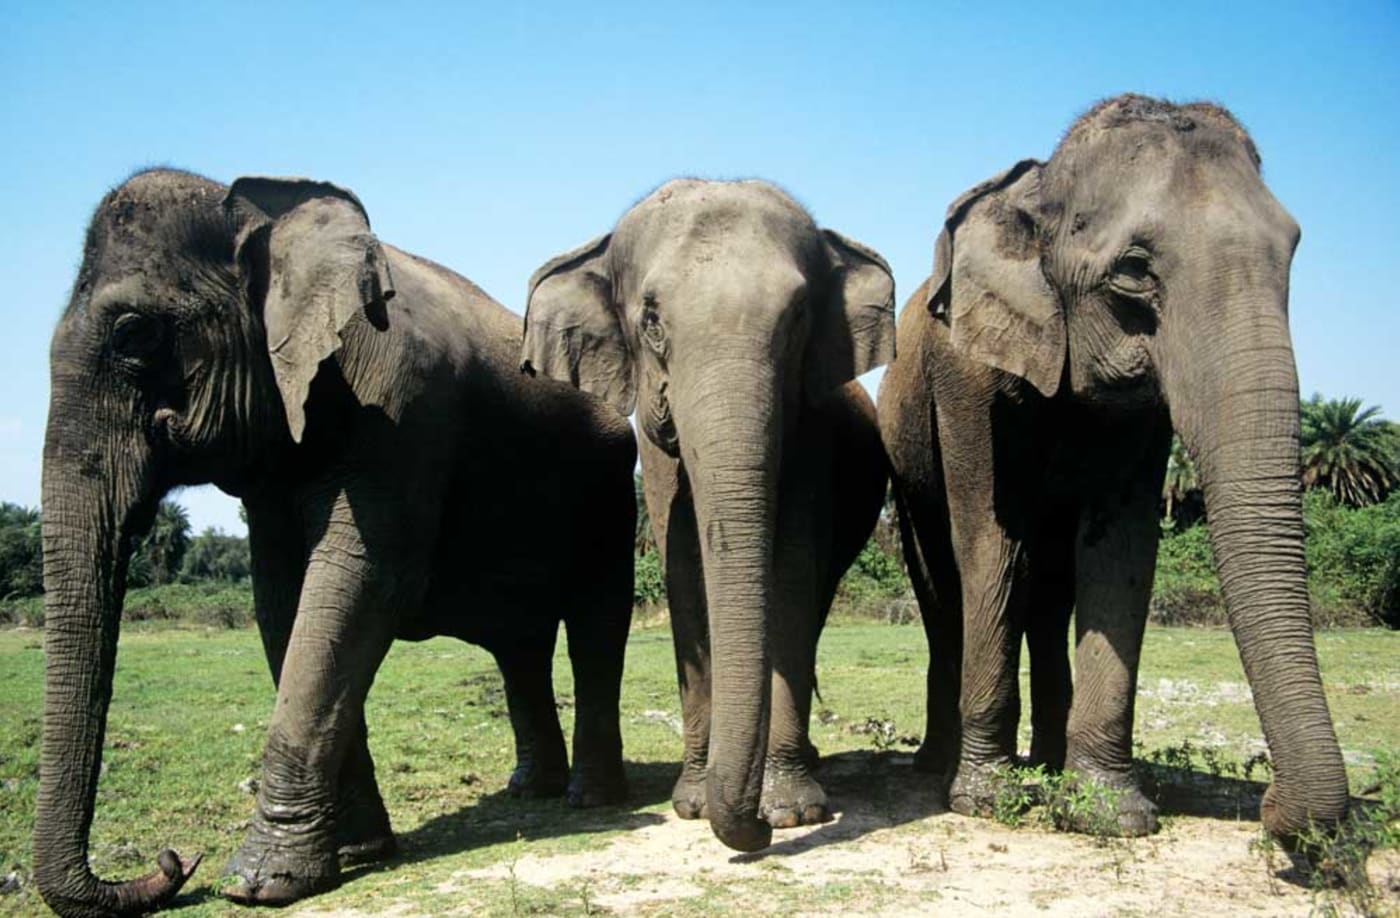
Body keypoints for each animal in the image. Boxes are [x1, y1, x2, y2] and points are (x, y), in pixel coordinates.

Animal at [35, 169, 637, 916]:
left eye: (134, 333)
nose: (174, 861)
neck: (264, 214)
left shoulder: (401, 410)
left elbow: (361, 583)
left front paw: (260, 885)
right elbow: (282, 603)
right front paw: (356, 854)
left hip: (610, 494)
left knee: (595, 627)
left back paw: (589, 799)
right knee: (518, 647)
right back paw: (532, 791)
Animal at [521, 179, 894, 852]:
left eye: (798, 317)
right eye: (651, 320)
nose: (758, 832)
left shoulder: (812, 431)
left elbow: (790, 574)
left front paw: (792, 812)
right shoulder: (652, 450)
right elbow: (685, 573)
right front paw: (693, 805)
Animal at [878, 95, 1349, 843]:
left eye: (1294, 250)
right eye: (1133, 270)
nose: (1273, 810)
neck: (1041, 187)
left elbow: (1120, 552)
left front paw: (1109, 814)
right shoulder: (965, 377)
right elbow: (990, 544)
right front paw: (986, 801)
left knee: (1050, 592)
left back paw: (1046, 762)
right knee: (943, 581)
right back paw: (940, 768)